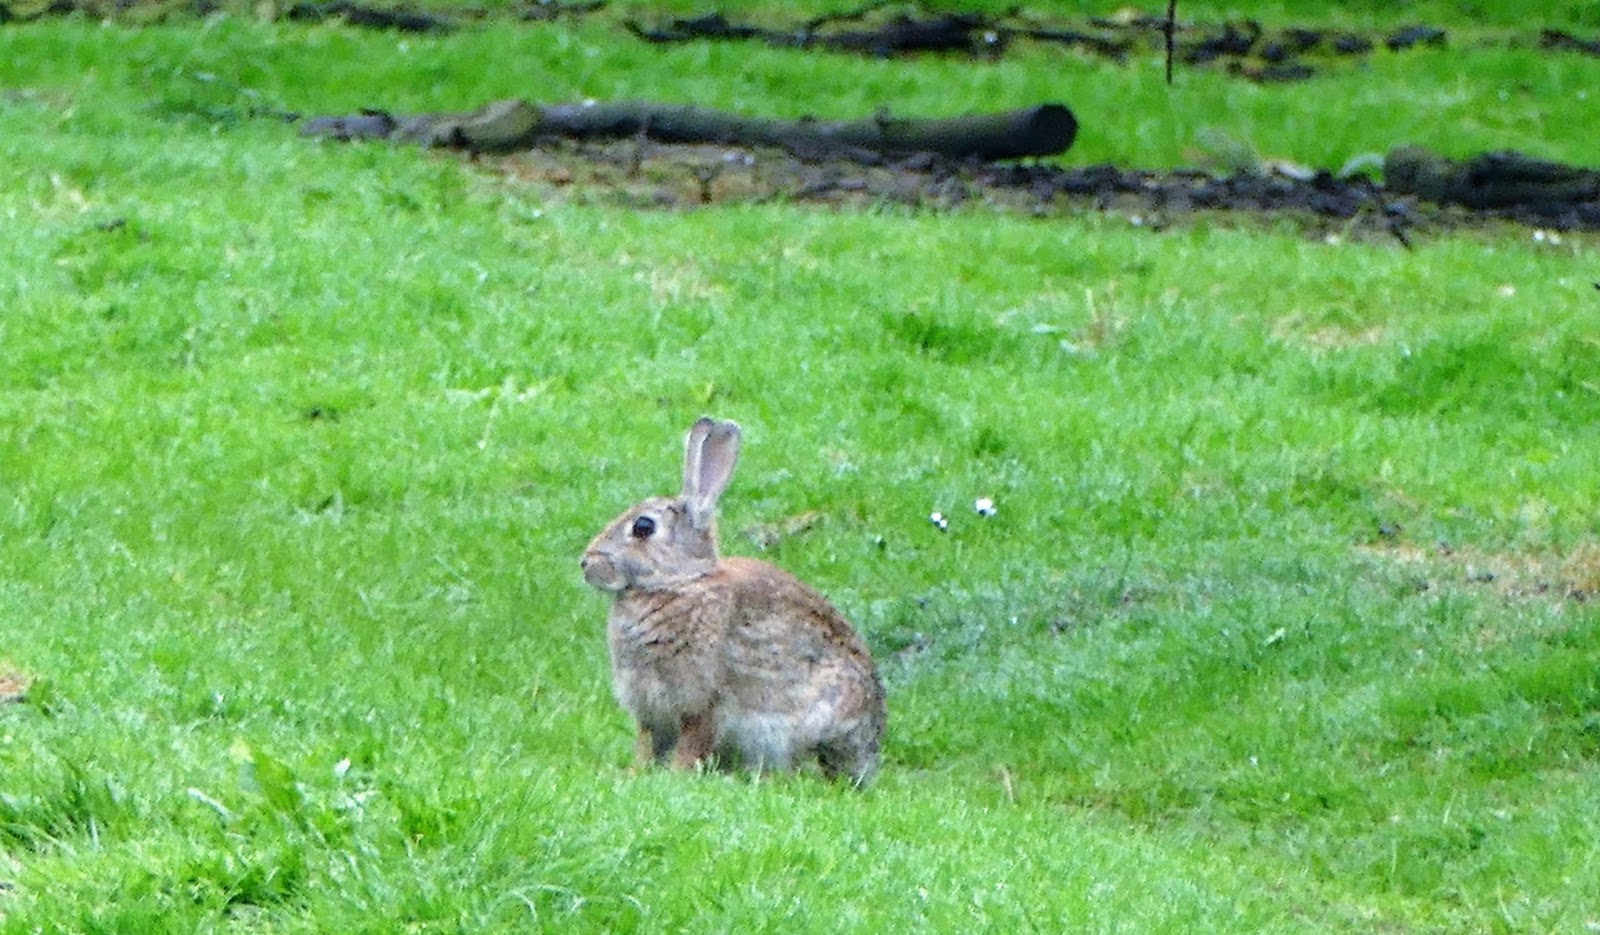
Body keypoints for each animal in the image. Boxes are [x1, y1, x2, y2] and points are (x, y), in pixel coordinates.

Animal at [580, 417, 886, 787]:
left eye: (643, 527)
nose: (586, 564)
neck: (679, 583)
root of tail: (867, 759)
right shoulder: (650, 710)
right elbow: (647, 742)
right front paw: (634, 771)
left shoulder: (706, 703)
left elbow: (692, 742)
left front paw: (677, 775)